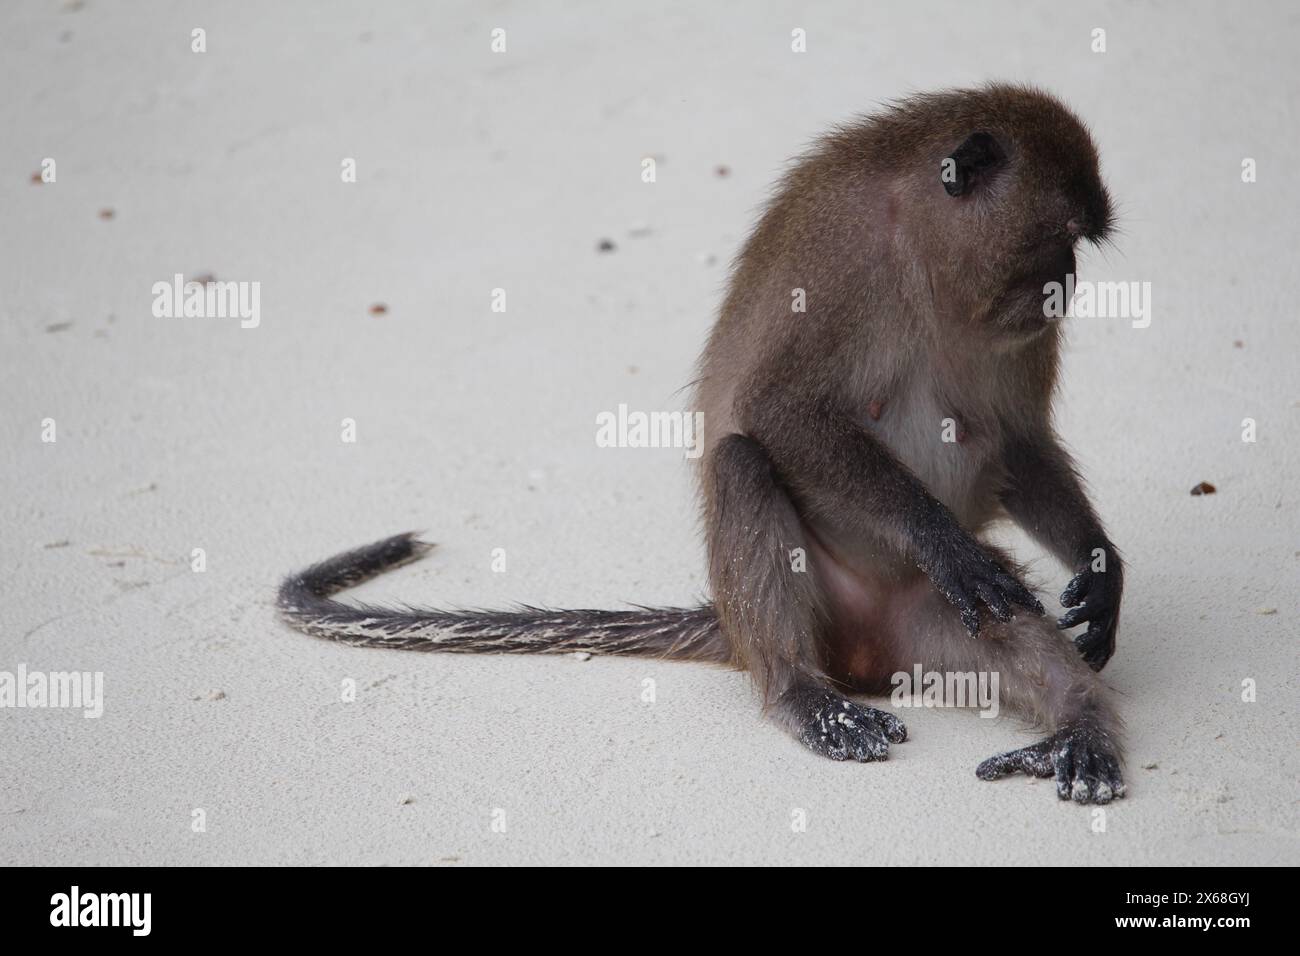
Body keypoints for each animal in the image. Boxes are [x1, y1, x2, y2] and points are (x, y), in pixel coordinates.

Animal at [279, 82, 1126, 805]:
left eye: (1079, 243)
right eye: (1057, 238)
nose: (1068, 279)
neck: (922, 255)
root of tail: (860, 655)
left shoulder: (1018, 337)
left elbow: (1016, 445)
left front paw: (1099, 566)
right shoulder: (842, 261)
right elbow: (774, 411)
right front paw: (940, 537)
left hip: (933, 622)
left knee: (1007, 615)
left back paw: (1077, 726)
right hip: (831, 609)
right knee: (742, 461)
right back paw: (802, 694)